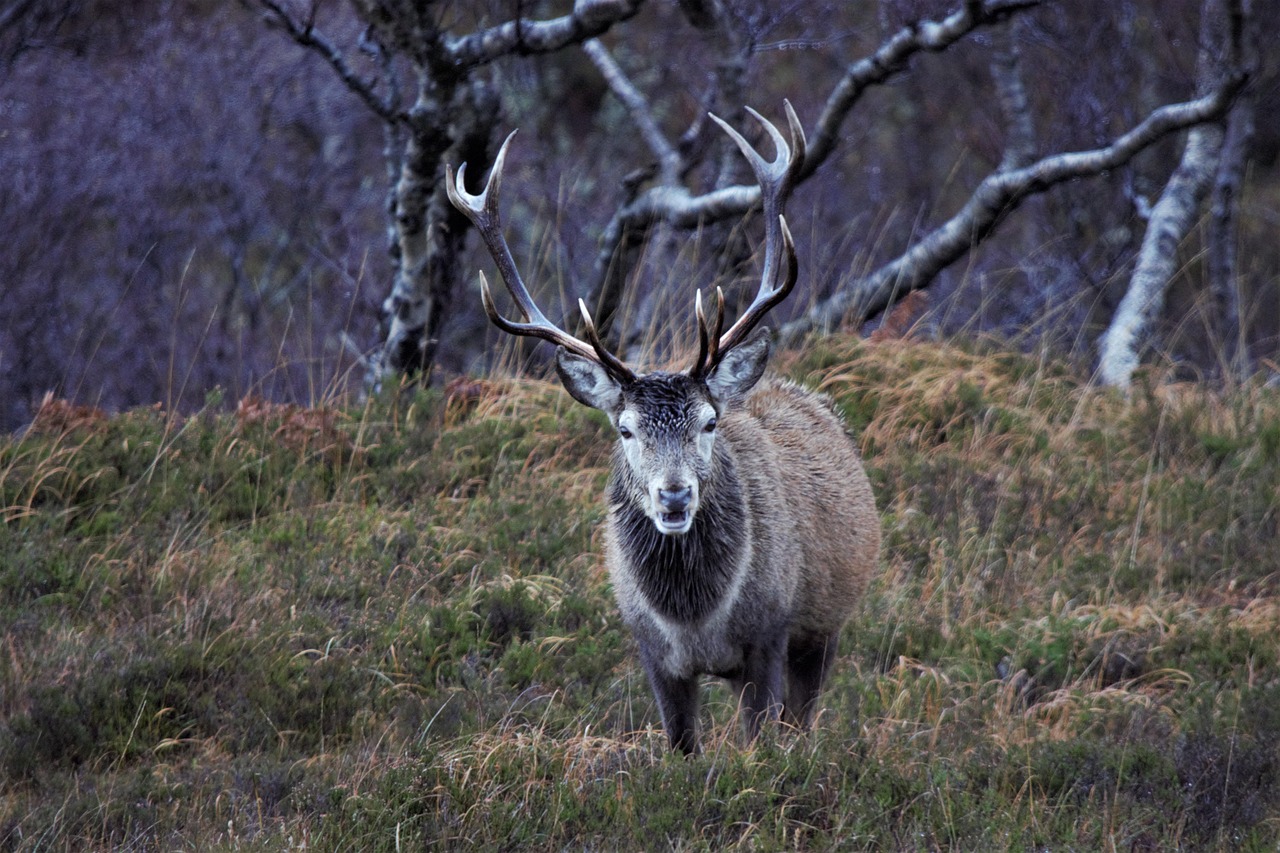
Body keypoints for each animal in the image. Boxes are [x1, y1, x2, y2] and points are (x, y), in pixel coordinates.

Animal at [446, 102, 880, 755]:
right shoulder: (651, 651)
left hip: (826, 625)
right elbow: (680, 748)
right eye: (625, 430)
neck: (694, 618)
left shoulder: (770, 633)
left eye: (708, 423)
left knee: (803, 719)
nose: (673, 497)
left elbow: (763, 740)